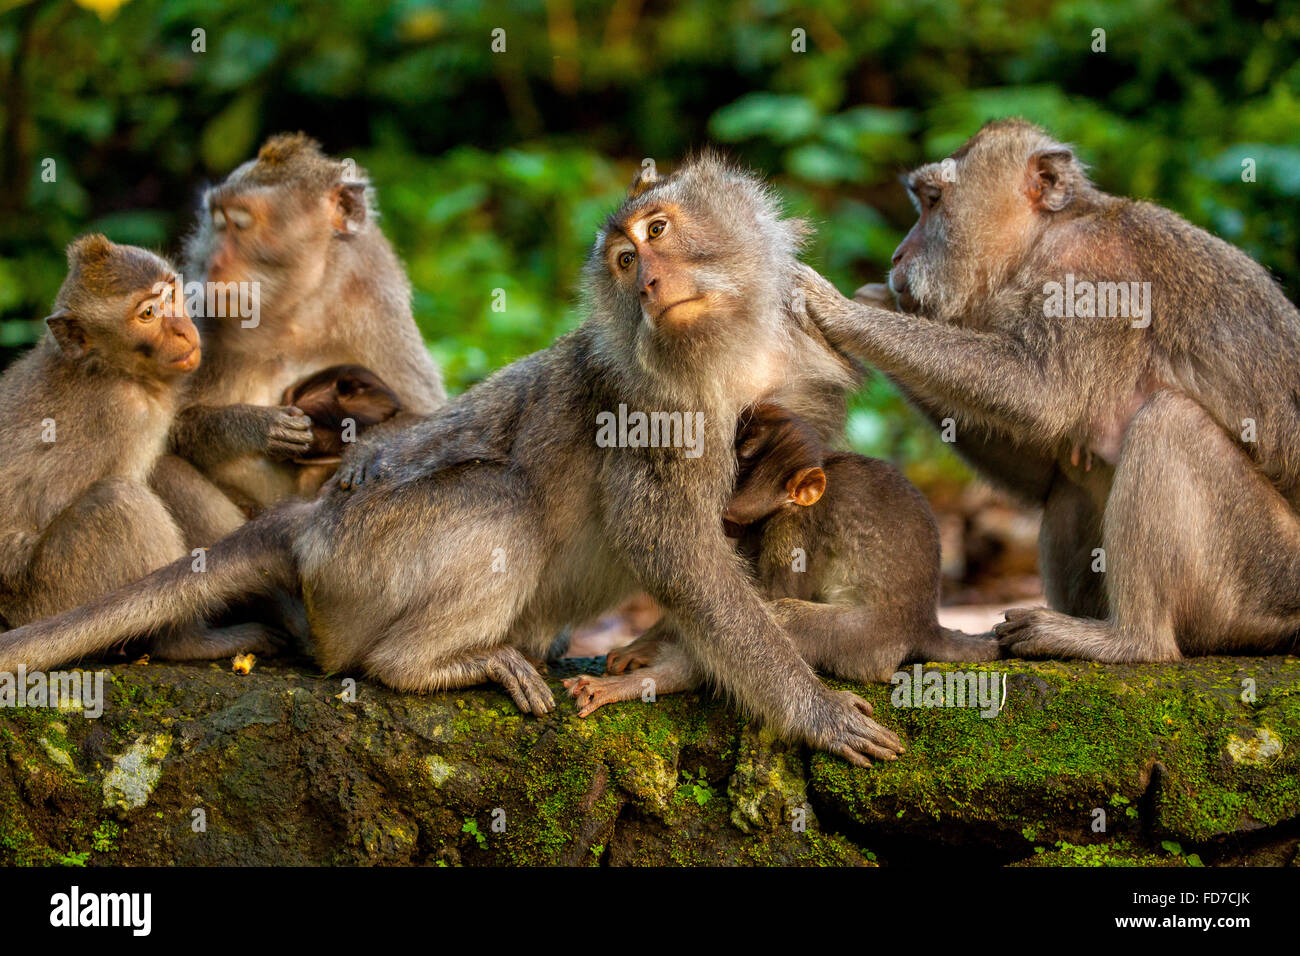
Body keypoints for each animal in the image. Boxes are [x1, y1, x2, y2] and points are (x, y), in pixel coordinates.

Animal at [0, 235, 272, 660]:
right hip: (49, 596)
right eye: (147, 313)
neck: (110, 368)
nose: (183, 330)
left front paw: (256, 427)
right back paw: (187, 642)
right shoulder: (126, 414)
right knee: (122, 503)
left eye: (172, 295)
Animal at [564, 402, 999, 714]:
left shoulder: (793, 525)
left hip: (868, 640)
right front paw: (643, 645)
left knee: (786, 619)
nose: (719, 512)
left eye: (743, 470)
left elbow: (764, 600)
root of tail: (923, 624)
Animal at [795, 117, 1300, 664]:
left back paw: (1130, 641)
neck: (1046, 236)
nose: (897, 255)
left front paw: (845, 311)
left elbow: (1045, 396)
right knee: (1075, 478)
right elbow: (1042, 472)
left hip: (1264, 574)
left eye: (933, 201)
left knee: (1169, 421)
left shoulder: (1092, 278)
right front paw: (877, 303)